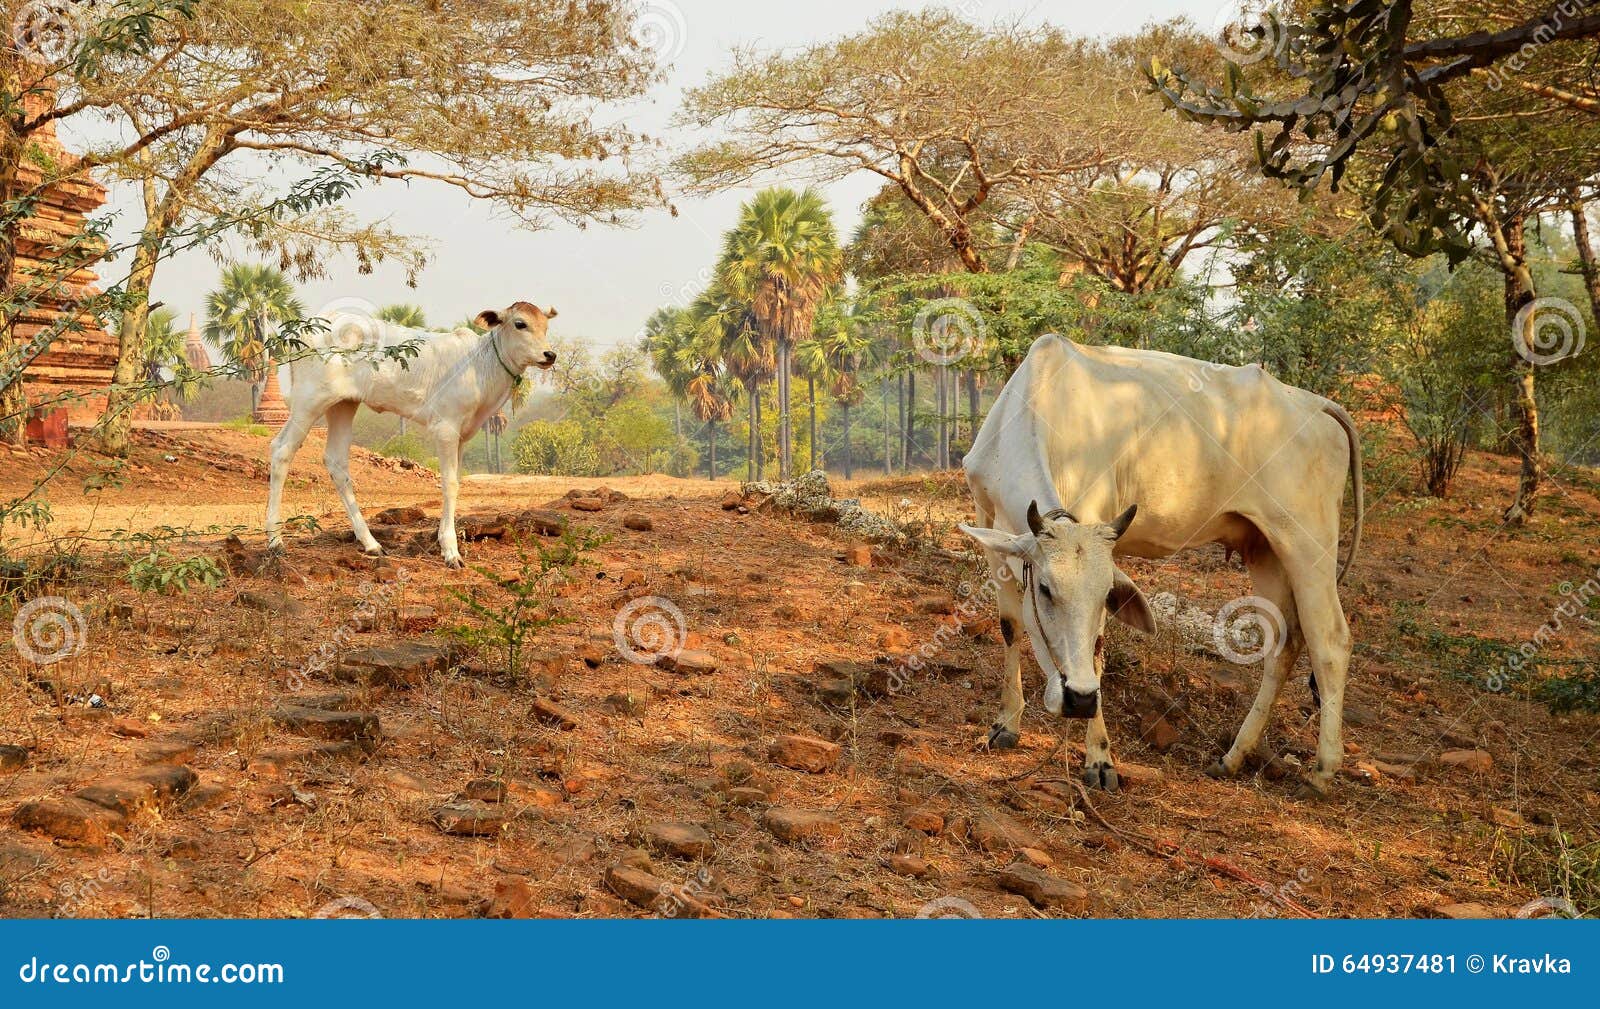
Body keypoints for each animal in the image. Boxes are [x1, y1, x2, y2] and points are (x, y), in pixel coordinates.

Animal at [266, 302, 558, 568]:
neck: (479, 363)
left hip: (344, 404)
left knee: (336, 461)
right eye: (520, 324)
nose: (550, 354)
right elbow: (449, 484)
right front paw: (450, 550)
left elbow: (456, 482)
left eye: (546, 326)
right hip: (309, 401)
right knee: (281, 450)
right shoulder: (445, 429)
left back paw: (370, 543)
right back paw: (275, 541)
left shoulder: (463, 435)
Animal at [959, 334, 1363, 797]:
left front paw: (1100, 759)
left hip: (1307, 544)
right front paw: (1005, 725)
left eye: (1105, 595)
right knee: (1284, 641)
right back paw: (1232, 757)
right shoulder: (990, 525)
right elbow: (1010, 627)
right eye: (1045, 590)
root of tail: (1319, 405)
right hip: (1265, 548)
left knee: (1330, 641)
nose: (1080, 699)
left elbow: (1097, 648)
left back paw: (1321, 772)